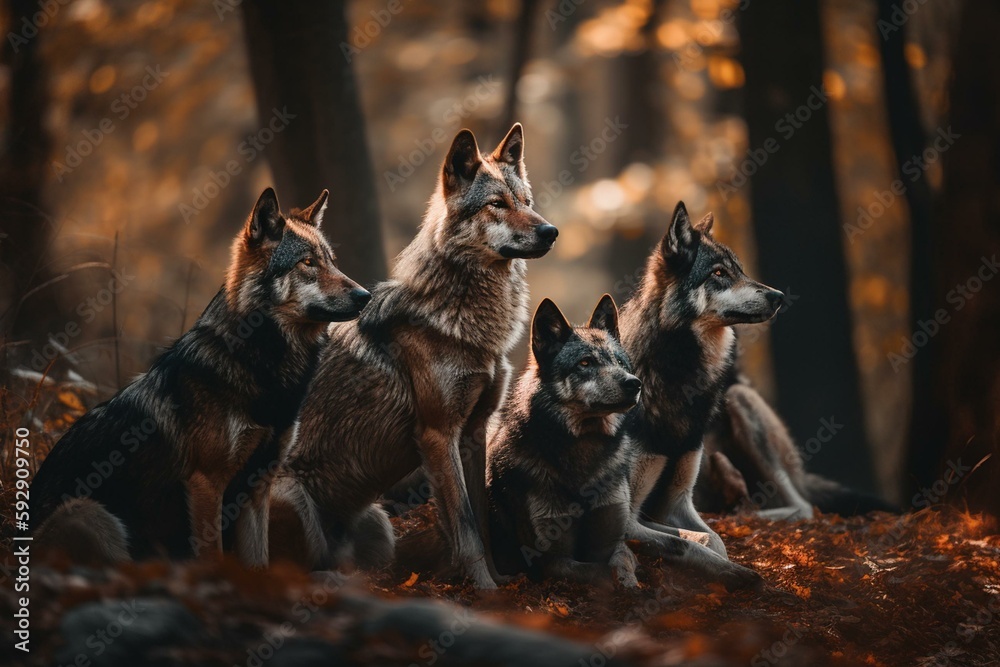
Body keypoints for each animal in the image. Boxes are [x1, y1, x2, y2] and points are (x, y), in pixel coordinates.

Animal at [31, 188, 370, 567]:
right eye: (307, 263)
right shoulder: (206, 484)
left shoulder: (258, 487)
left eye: (331, 261)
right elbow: (212, 557)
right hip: (93, 514)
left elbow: (259, 561)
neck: (260, 365)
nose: (365, 296)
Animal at [269, 124, 557, 588]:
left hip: (378, 527)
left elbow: (481, 517)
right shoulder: (438, 435)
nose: (551, 231)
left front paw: (498, 582)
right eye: (497, 204)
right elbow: (466, 526)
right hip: (293, 496)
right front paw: (484, 589)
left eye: (526, 202)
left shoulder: (475, 431)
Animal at [487, 295, 641, 588]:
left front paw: (630, 583)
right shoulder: (551, 561)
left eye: (620, 362)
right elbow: (598, 572)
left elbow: (621, 562)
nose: (635, 384)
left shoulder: (613, 539)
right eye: (585, 363)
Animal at [618, 201, 781, 585]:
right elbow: (688, 544)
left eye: (740, 269)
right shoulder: (629, 518)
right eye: (719, 273)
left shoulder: (678, 502)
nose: (779, 296)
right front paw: (739, 576)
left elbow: (714, 538)